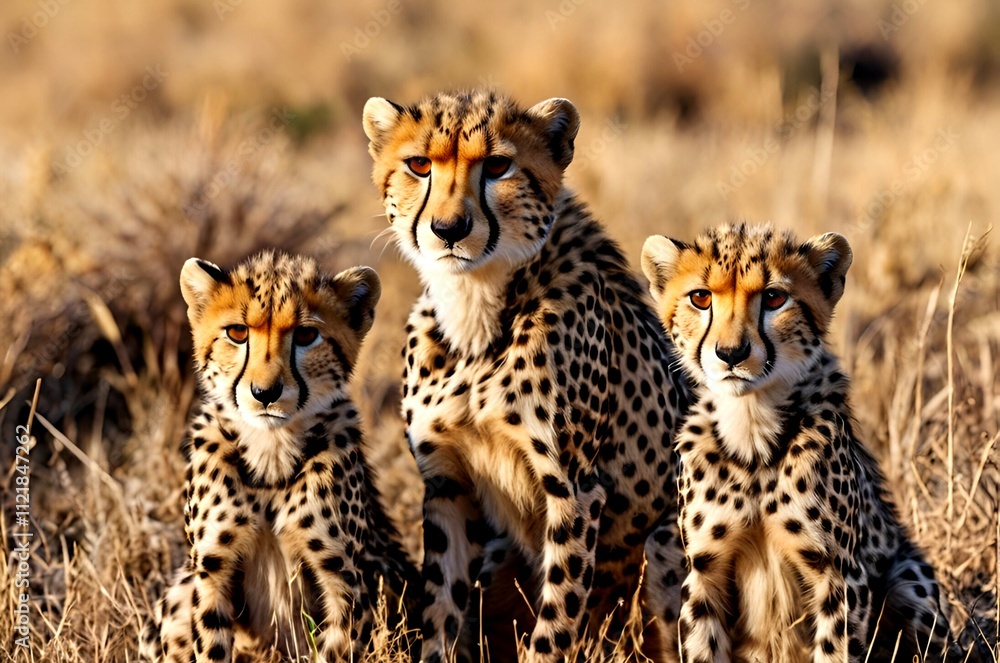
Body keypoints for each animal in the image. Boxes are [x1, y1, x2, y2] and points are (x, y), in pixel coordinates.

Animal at [140, 251, 418, 662]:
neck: (270, 452)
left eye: (305, 335)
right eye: (237, 333)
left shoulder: (346, 580)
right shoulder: (211, 570)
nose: (265, 392)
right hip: (180, 589)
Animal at [362, 89, 692, 662]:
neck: (475, 311)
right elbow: (441, 610)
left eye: (498, 166)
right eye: (419, 165)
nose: (448, 229)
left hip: (668, 540)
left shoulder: (576, 489)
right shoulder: (446, 485)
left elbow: (556, 620)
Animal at [641, 223, 950, 662]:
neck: (751, 428)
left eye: (774, 297)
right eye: (700, 298)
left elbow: (835, 649)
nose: (731, 353)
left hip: (910, 579)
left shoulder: (840, 576)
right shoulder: (703, 572)